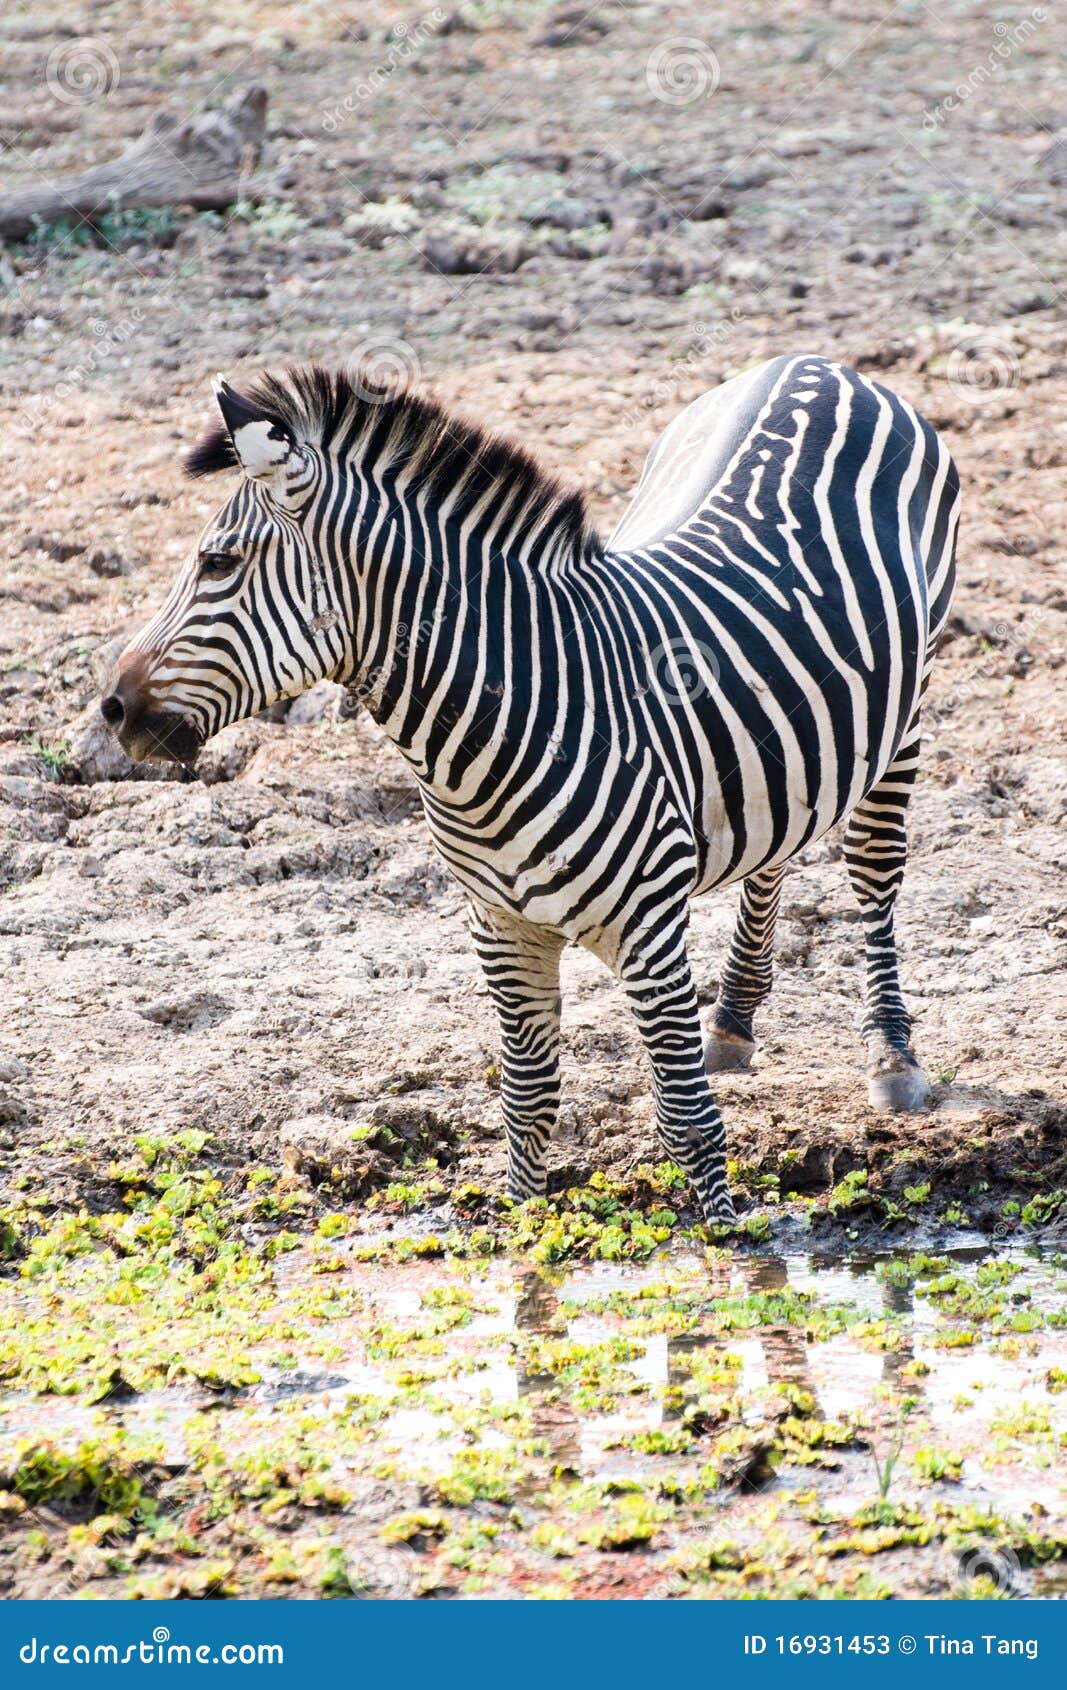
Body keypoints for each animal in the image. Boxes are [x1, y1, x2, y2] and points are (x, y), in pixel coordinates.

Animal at [100, 353, 959, 1224]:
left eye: (217, 564)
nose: (113, 709)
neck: (500, 726)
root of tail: (813, 364)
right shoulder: (499, 925)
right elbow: (528, 1103)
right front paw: (520, 1231)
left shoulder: (650, 927)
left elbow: (686, 1121)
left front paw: (730, 1243)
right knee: (776, 844)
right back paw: (732, 1022)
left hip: (907, 702)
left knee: (873, 872)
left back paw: (890, 1055)